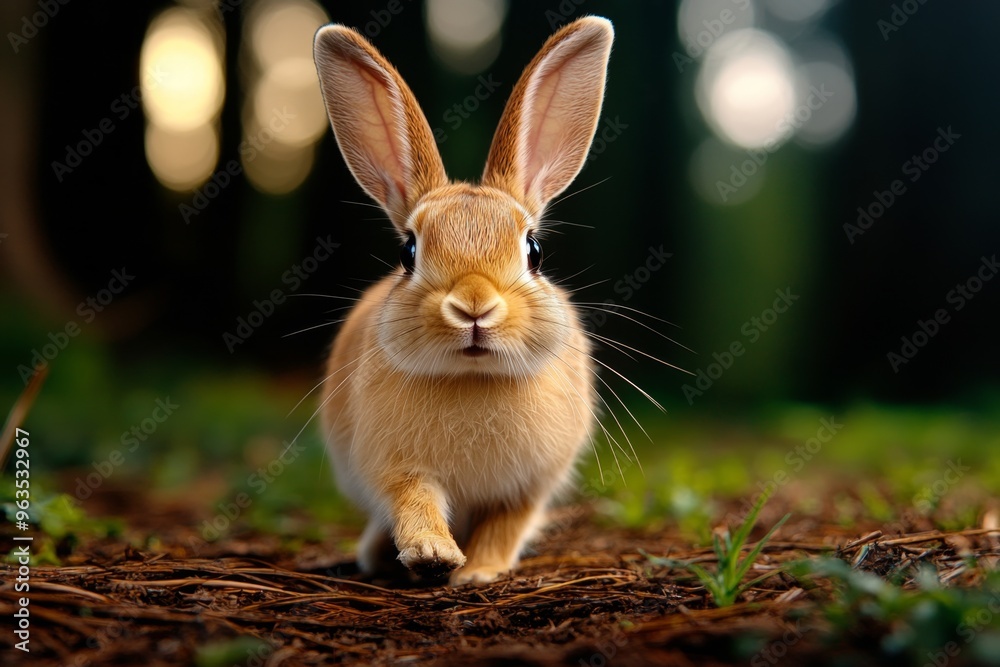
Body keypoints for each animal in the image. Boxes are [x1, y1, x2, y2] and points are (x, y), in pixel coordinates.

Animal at [312, 16, 614, 586]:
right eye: (407, 251)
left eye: (534, 250)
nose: (474, 305)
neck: (473, 378)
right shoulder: (396, 467)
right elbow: (415, 501)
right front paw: (434, 555)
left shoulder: (528, 487)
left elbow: (506, 525)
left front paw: (479, 573)